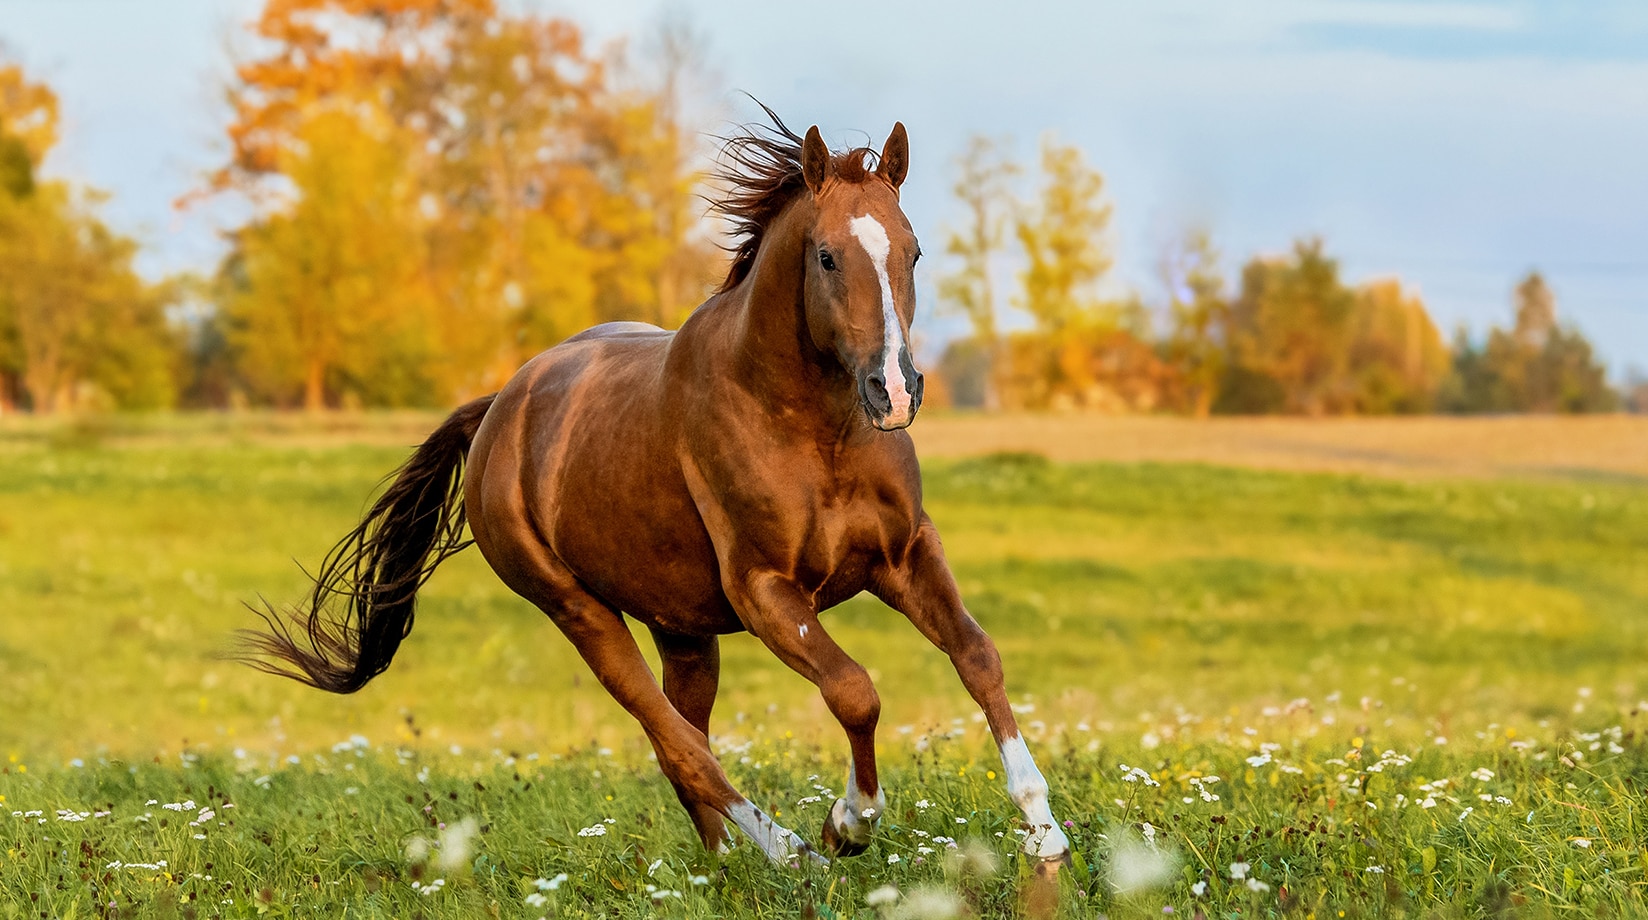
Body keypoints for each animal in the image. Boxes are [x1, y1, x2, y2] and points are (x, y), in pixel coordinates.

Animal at [241, 107, 1071, 870]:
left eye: (913, 250)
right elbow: (853, 690)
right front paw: (848, 823)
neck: (814, 431)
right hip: (580, 612)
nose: (894, 391)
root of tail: (498, 408)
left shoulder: (904, 556)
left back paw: (725, 861)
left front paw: (1044, 833)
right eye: (828, 256)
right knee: (678, 744)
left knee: (686, 737)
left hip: (682, 629)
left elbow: (977, 655)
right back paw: (788, 853)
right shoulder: (766, 593)